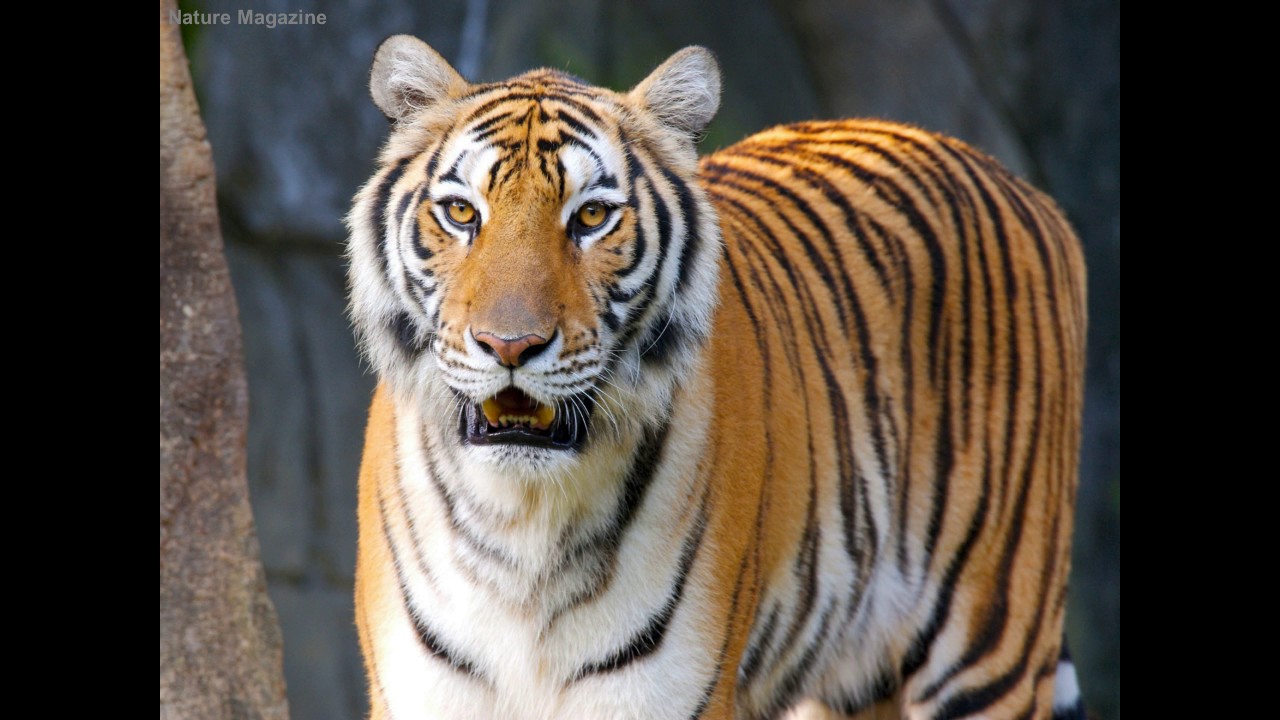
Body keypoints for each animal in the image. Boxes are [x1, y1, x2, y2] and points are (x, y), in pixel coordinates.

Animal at [346, 34, 1087, 720]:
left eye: (592, 216)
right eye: (461, 213)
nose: (510, 345)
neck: (520, 522)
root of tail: (1019, 185)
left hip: (993, 648)